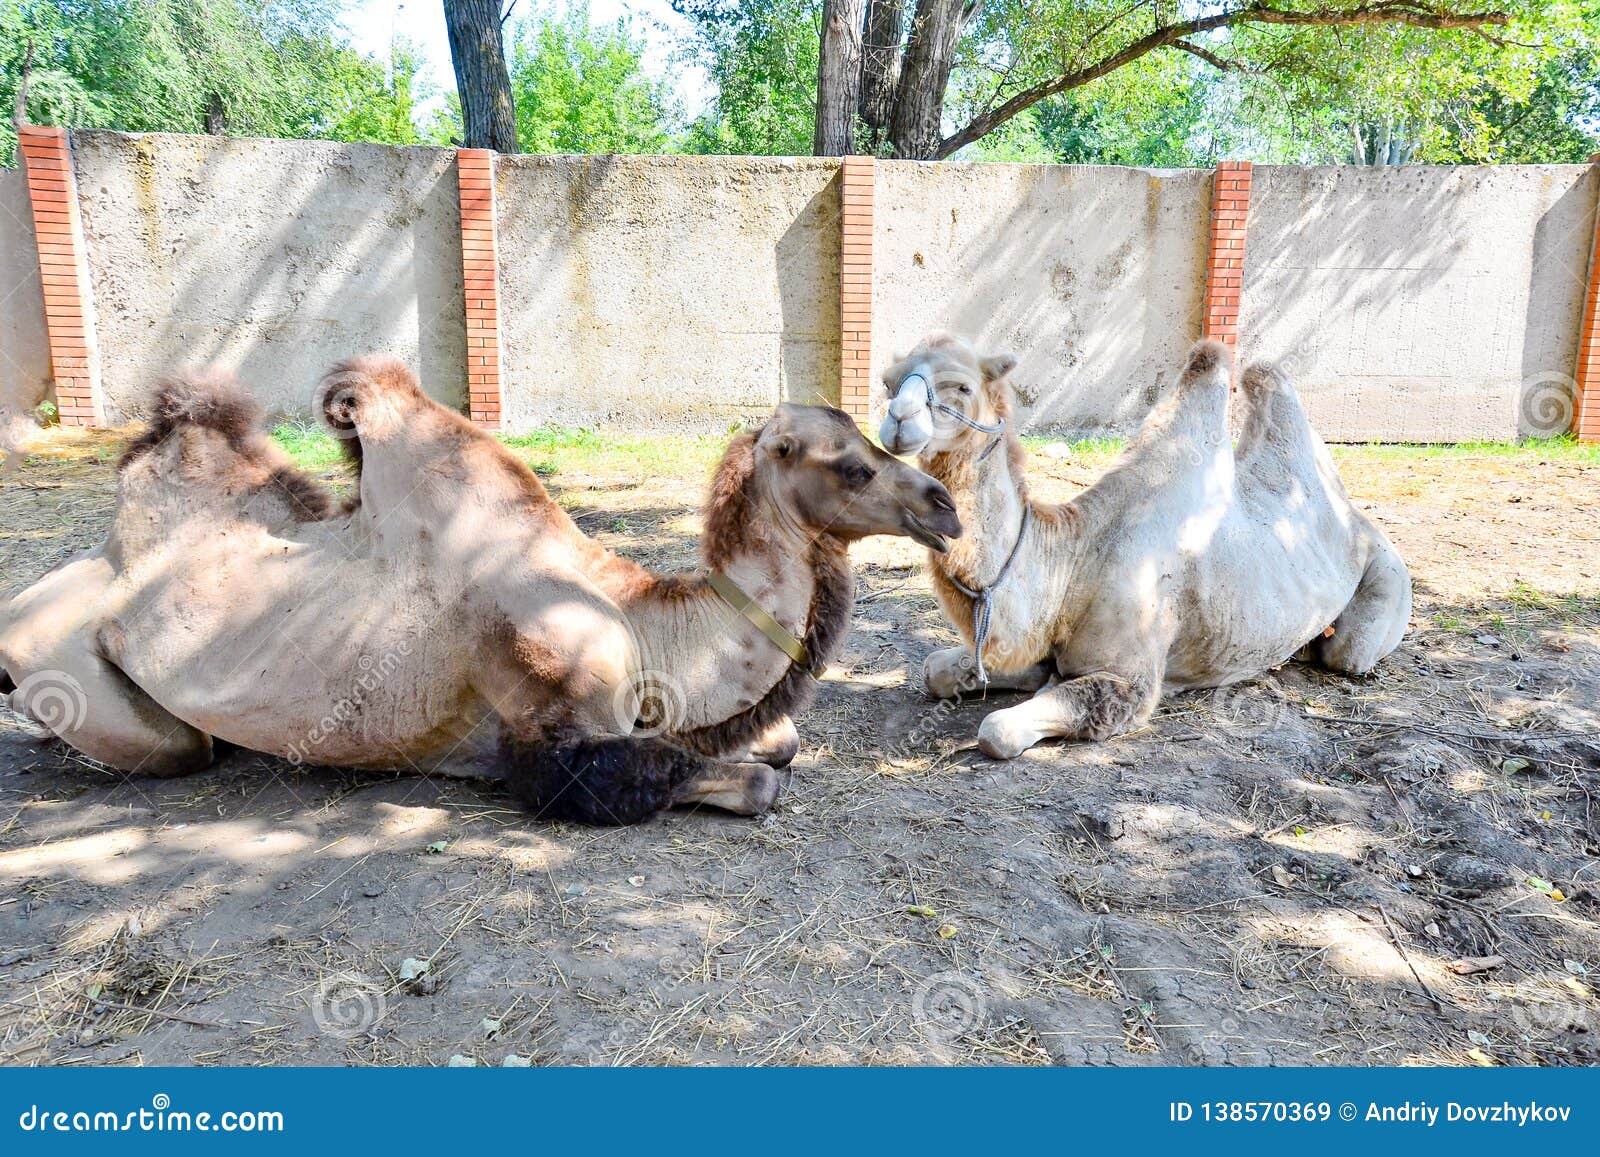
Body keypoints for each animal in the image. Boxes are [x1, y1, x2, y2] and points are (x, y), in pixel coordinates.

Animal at [0, 359, 961, 823]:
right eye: (850, 463)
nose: (944, 505)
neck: (648, 625)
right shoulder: (546, 736)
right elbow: (721, 778)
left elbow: (782, 743)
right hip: (92, 682)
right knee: (170, 744)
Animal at [877, 333, 1411, 759]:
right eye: (889, 382)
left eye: (962, 387)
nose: (898, 421)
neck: (1075, 564)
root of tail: (1358, 518)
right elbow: (934, 669)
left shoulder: (1131, 683)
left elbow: (998, 731)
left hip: (1384, 574)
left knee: (1348, 653)